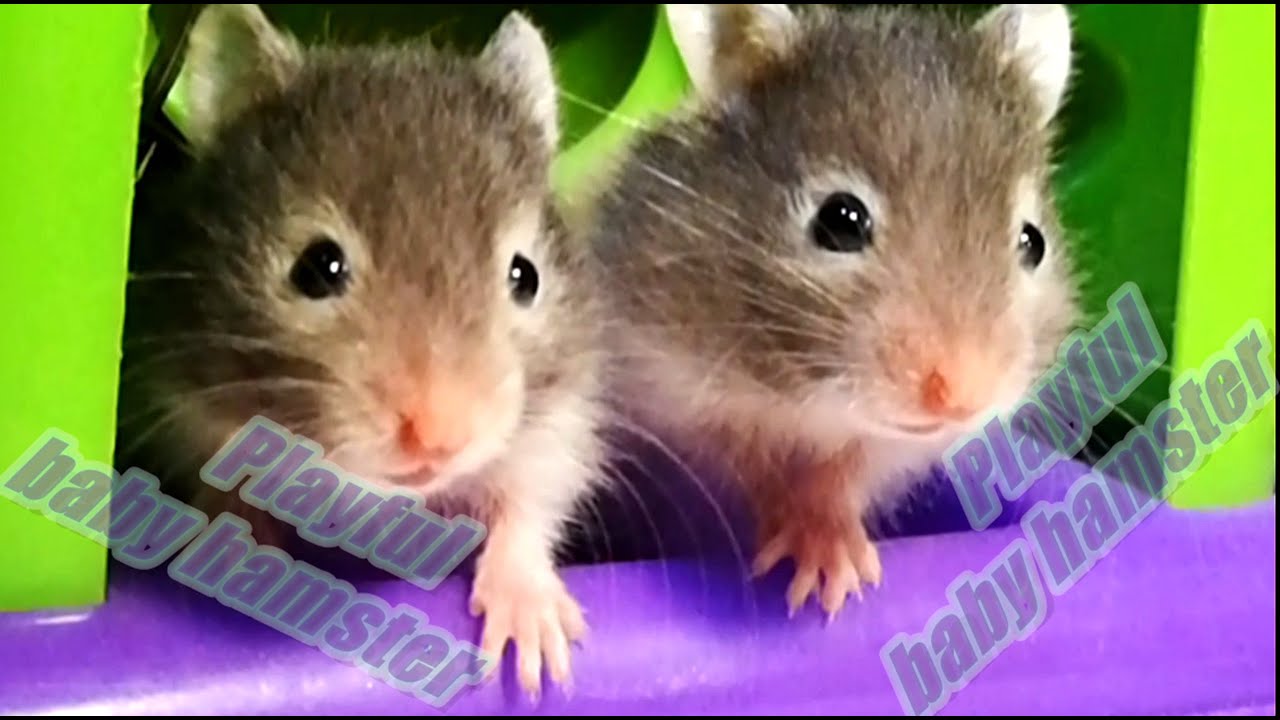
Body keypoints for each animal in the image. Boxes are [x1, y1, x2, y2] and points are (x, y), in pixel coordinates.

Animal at [119, 3, 608, 698]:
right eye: (316, 268)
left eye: (526, 277)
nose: (439, 439)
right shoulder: (176, 401)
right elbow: (223, 487)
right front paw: (239, 562)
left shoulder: (558, 428)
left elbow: (525, 510)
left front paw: (535, 665)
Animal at [589, 4, 1083, 618]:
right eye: (840, 220)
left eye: (1032, 242)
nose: (964, 398)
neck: (805, 400)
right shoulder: (669, 393)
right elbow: (746, 461)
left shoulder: (884, 449)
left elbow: (836, 481)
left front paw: (833, 576)